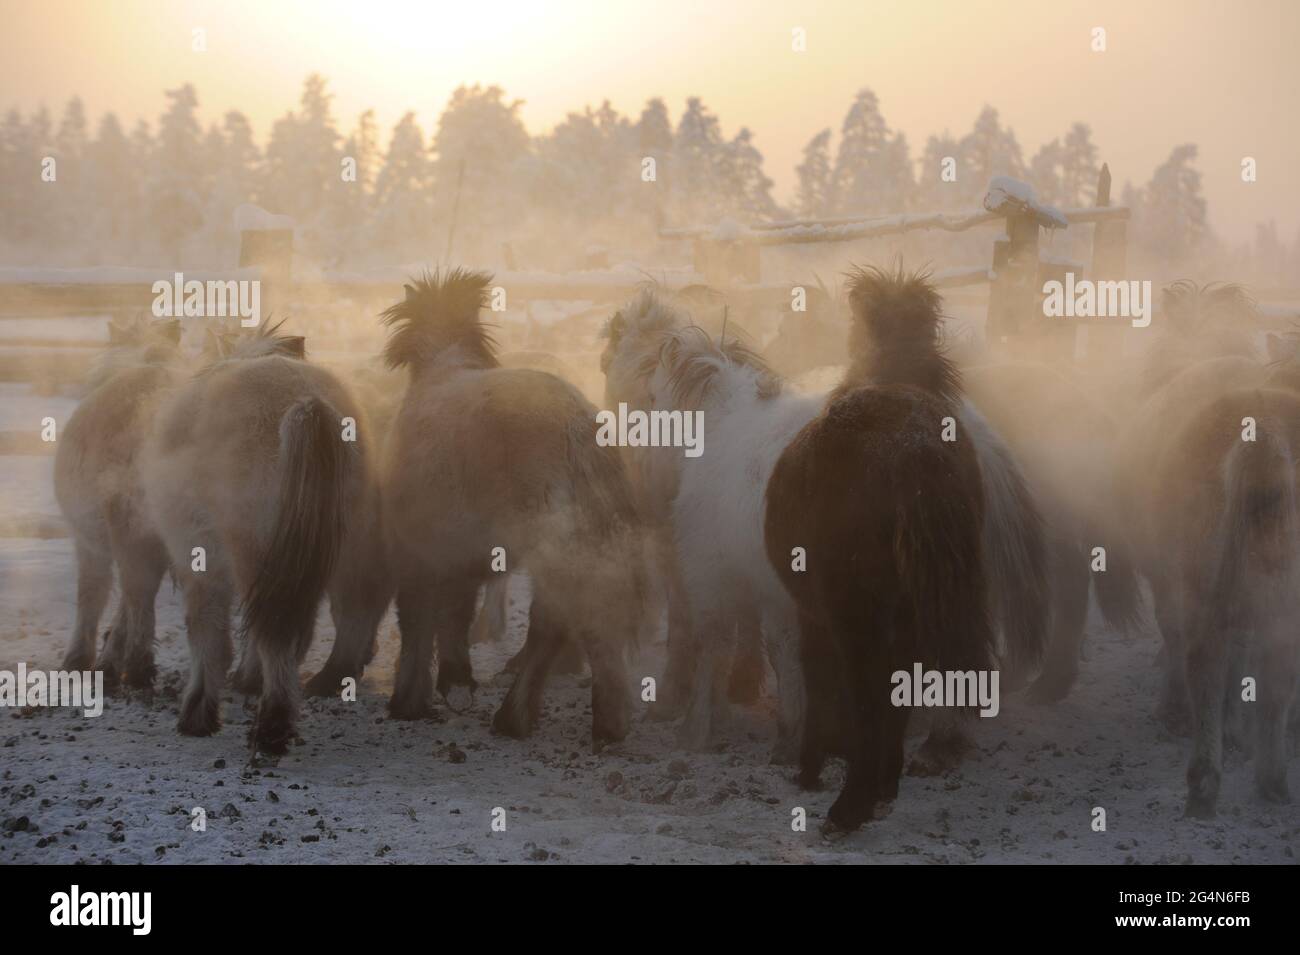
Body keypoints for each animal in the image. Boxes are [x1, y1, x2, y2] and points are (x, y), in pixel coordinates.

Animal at [380, 269, 643, 749]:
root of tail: (575, 427)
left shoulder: (416, 550)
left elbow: (418, 618)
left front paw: (410, 699)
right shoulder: (458, 553)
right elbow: (454, 612)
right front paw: (454, 684)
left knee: (552, 623)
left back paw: (515, 718)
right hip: (588, 550)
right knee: (588, 619)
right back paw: (607, 721)